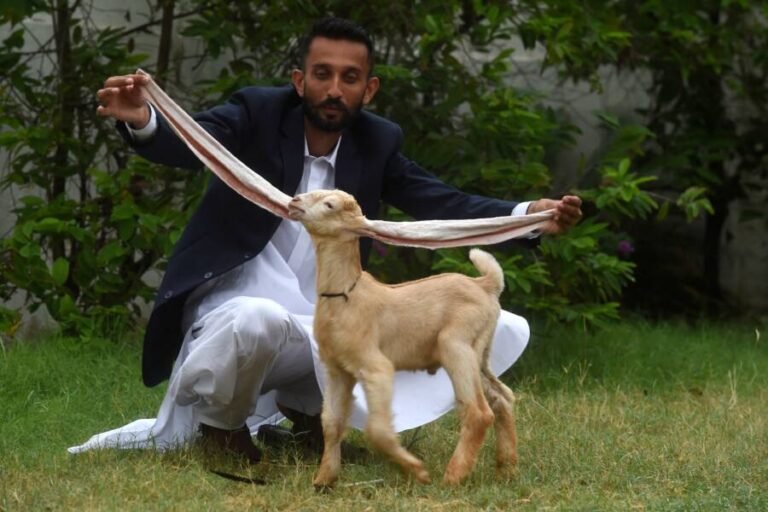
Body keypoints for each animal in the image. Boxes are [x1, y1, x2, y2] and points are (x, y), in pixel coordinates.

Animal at [288, 189, 518, 486]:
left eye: (329, 205)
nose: (294, 201)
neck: (347, 294)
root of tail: (485, 285)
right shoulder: (338, 371)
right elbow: (332, 423)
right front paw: (324, 479)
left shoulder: (376, 368)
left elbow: (377, 430)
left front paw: (416, 471)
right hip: (481, 351)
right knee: (502, 397)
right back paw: (507, 468)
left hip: (456, 346)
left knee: (478, 412)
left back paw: (453, 477)